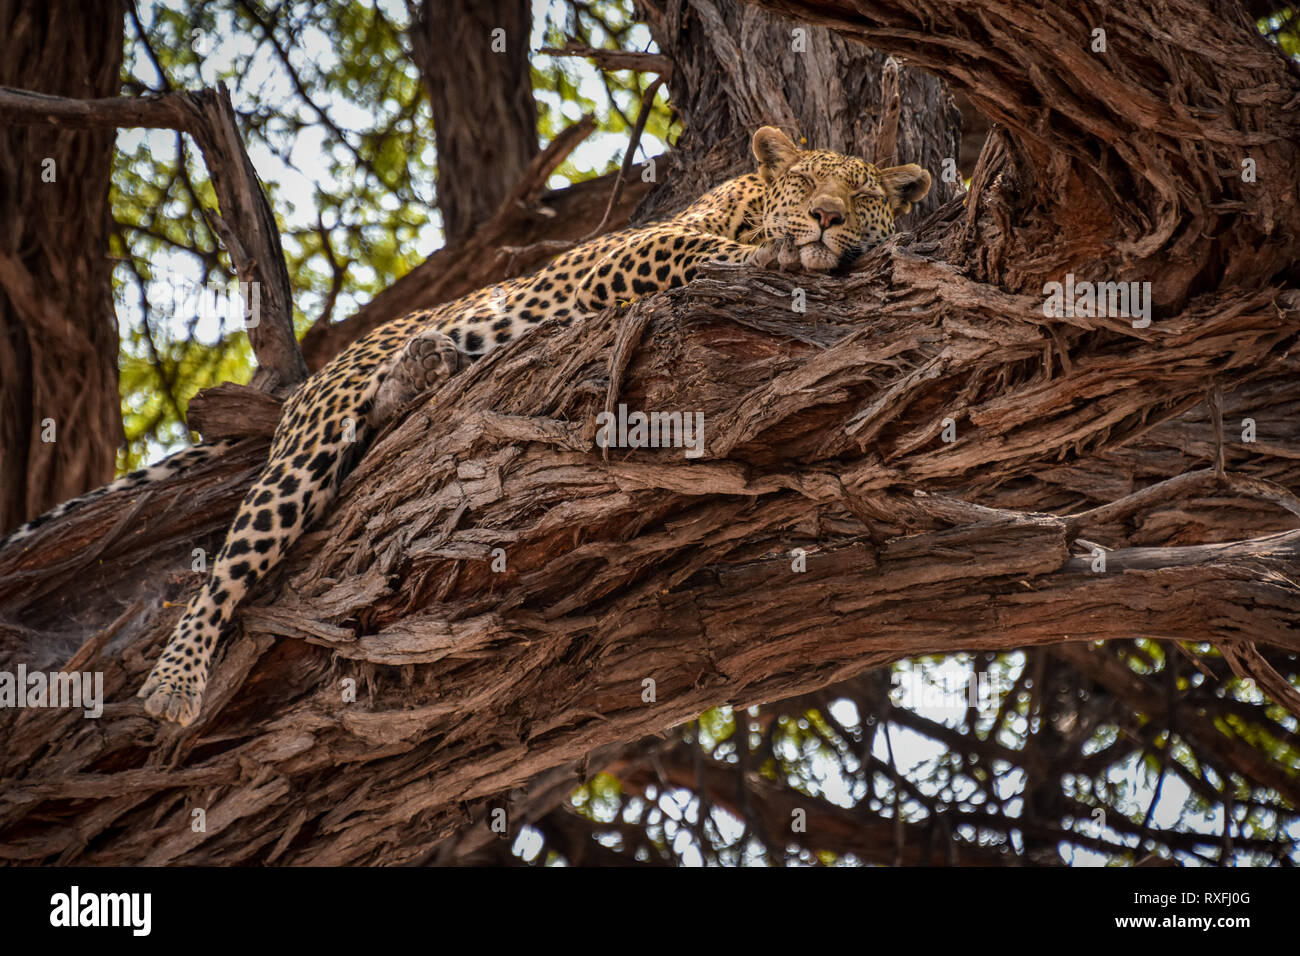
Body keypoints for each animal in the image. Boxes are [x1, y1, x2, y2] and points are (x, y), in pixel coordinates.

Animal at [2, 126, 931, 726]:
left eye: (861, 196)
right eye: (808, 186)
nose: (826, 218)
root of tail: (320, 376)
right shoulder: (610, 259)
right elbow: (701, 251)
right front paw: (778, 250)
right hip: (307, 452)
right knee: (223, 569)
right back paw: (174, 683)